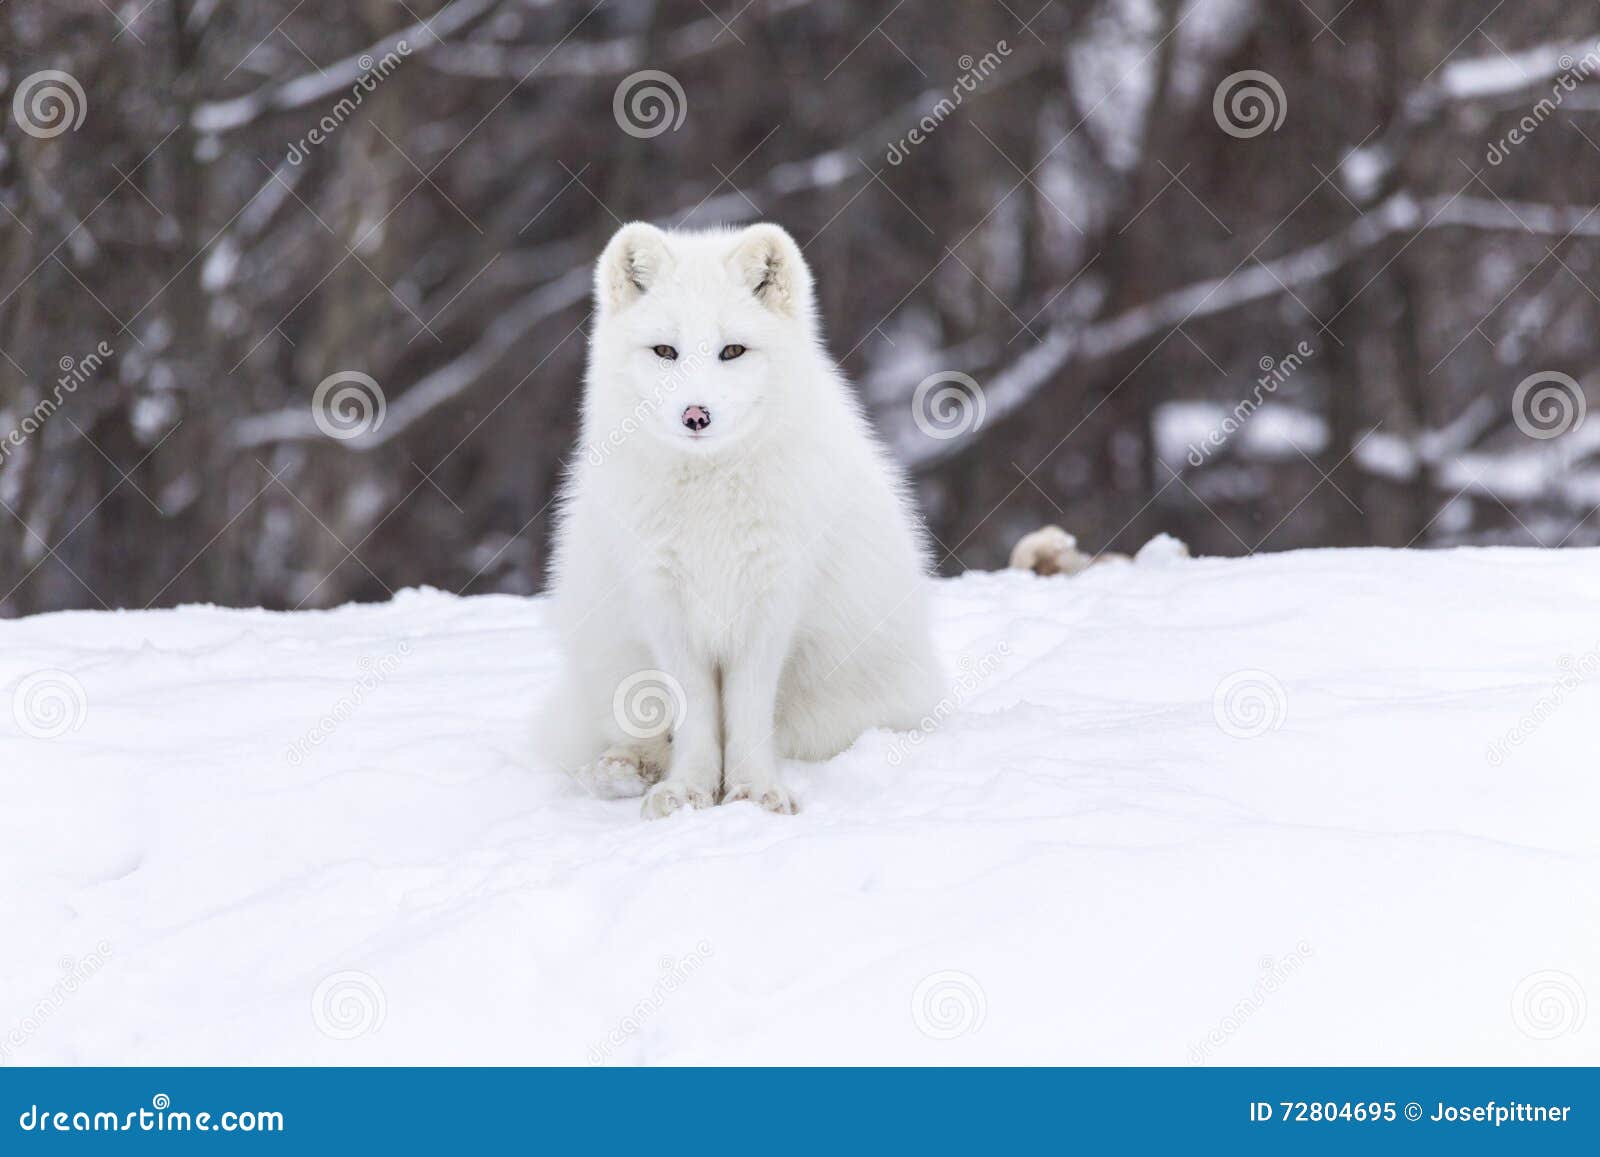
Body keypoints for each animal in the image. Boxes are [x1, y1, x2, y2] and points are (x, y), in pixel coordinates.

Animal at [542, 221, 941, 819]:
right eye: (665, 350)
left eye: (732, 351)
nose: (696, 415)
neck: (710, 503)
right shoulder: (664, 604)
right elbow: (695, 715)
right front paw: (689, 790)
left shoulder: (772, 599)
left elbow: (747, 711)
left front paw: (754, 792)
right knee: (636, 734)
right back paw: (623, 771)